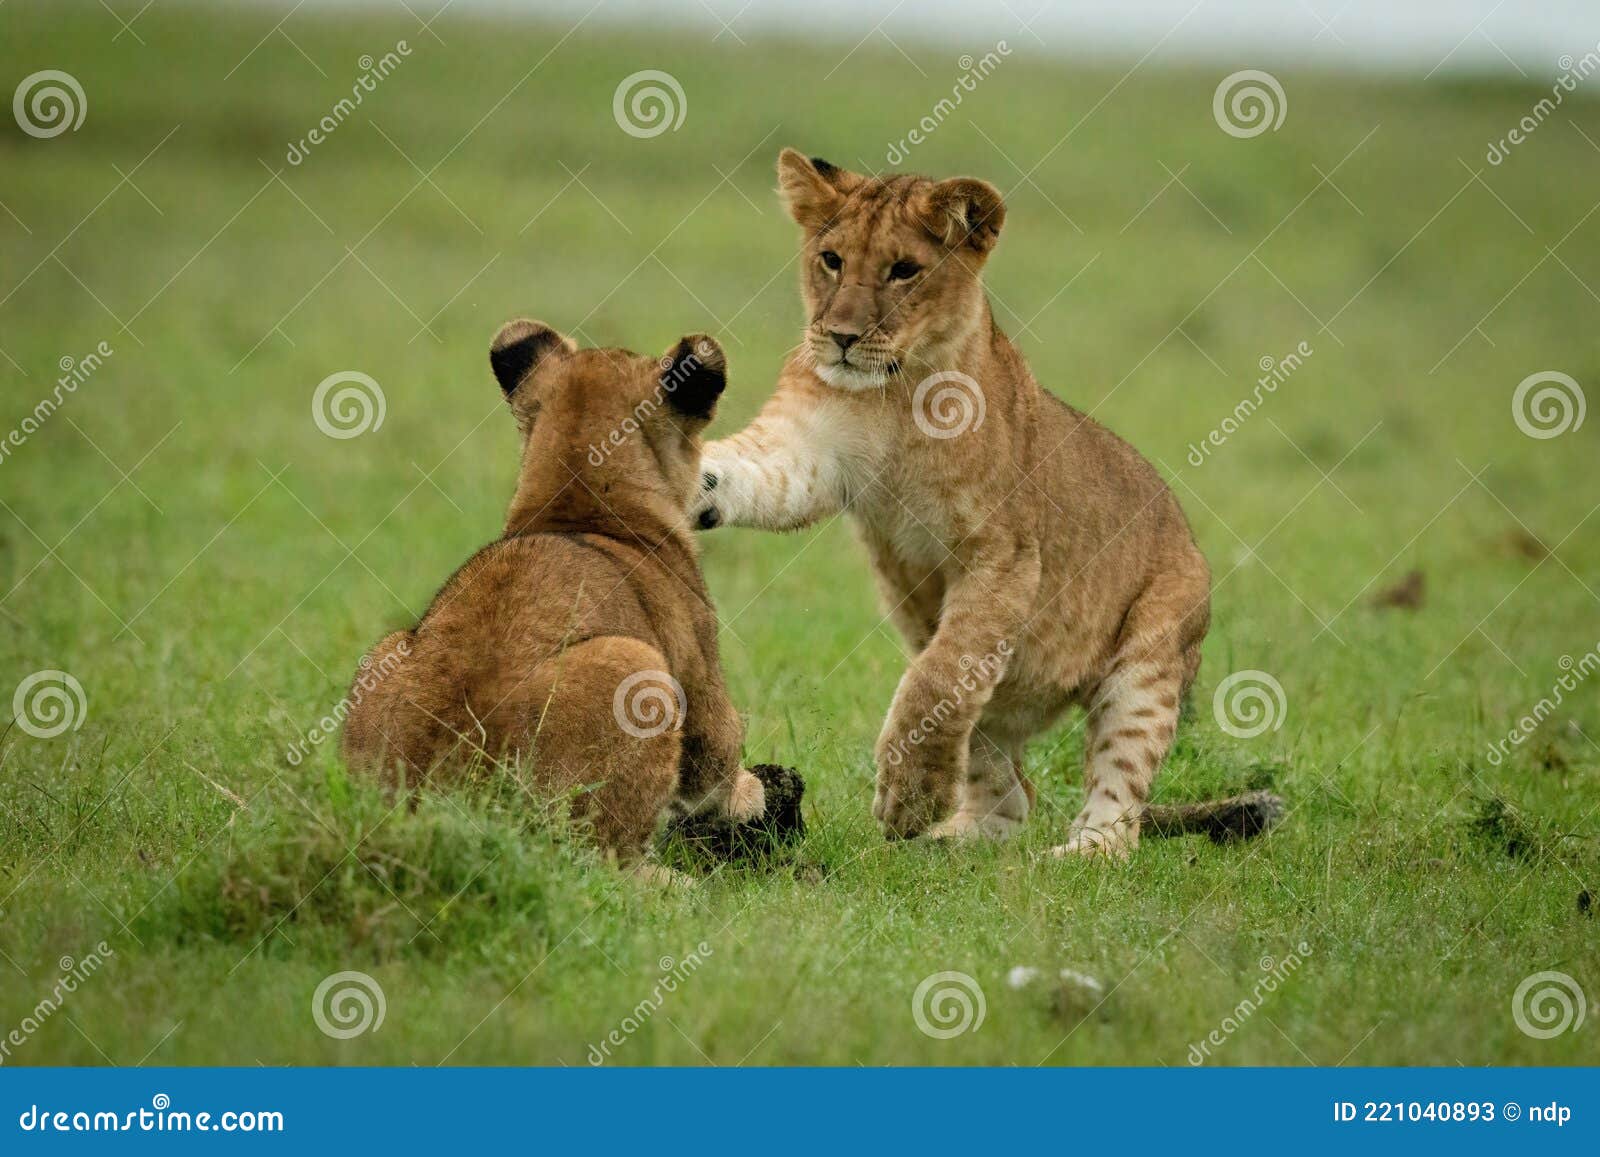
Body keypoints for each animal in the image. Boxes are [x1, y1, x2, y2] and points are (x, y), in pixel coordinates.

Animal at [341, 320, 765, 865]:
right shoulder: (699, 670)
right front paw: (752, 793)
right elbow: (717, 767)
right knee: (600, 857)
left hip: (384, 650)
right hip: (631, 663)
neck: (577, 507)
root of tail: (442, 794)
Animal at [694, 149, 1214, 859]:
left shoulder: (1004, 554)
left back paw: (1075, 856)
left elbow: (938, 677)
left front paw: (906, 797)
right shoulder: (810, 447)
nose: (841, 337)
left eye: (904, 270)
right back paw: (957, 839)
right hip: (998, 701)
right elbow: (749, 470)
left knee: (1118, 803)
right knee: (1010, 787)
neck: (897, 392)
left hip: (1149, 664)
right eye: (831, 259)